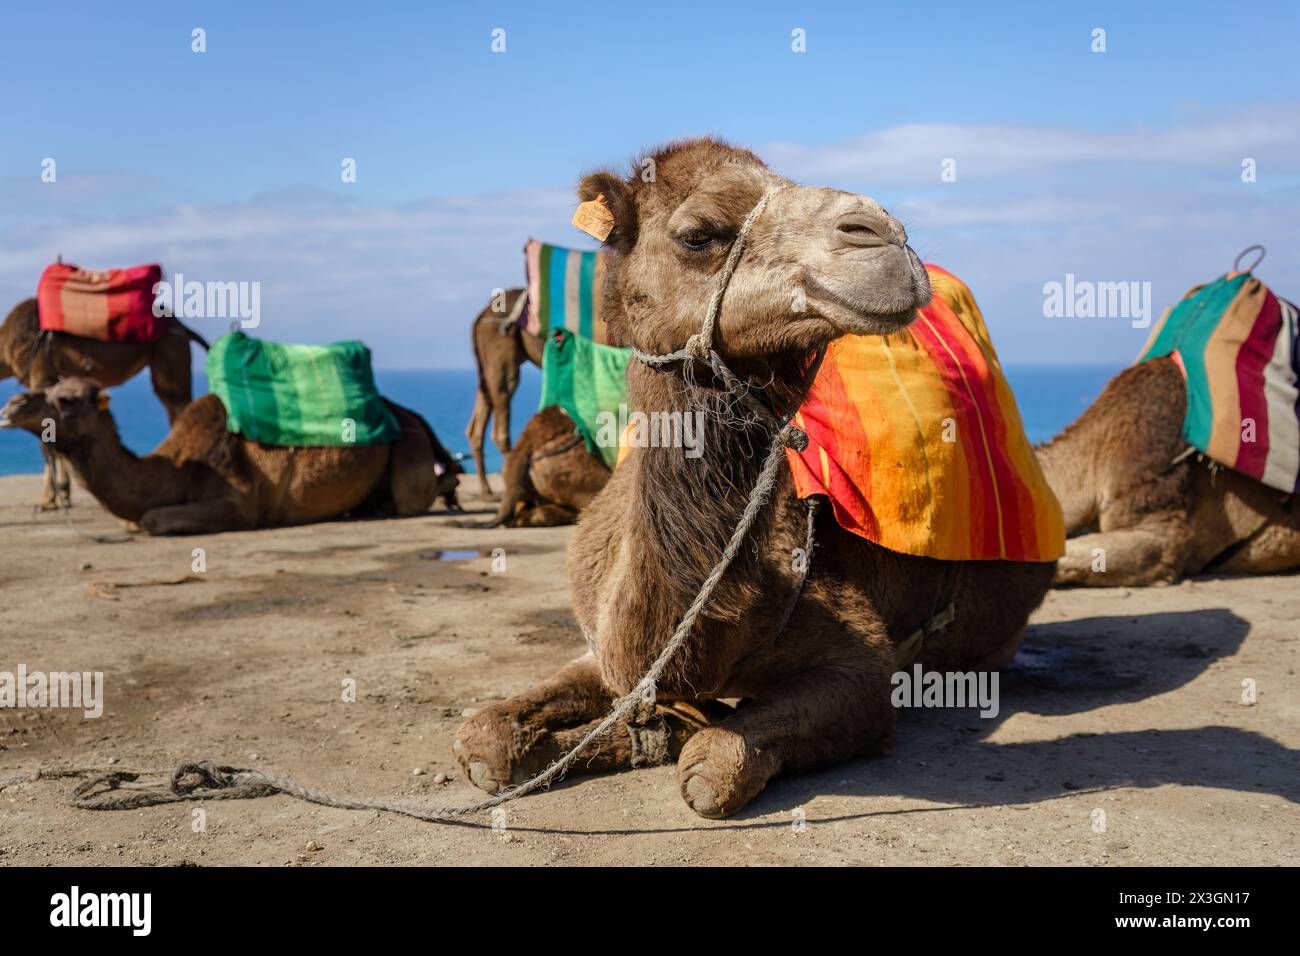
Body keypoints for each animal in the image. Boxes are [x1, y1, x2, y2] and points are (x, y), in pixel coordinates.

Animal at [0, 297, 208, 509]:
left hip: (169, 351)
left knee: (177, 403)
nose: (10, 407)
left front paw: (49, 500)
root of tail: (182, 327)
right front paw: (62, 495)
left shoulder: (40, 371)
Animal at [0, 377, 461, 534]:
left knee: (416, 495)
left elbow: (150, 520)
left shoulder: (239, 501)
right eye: (51, 387)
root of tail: (409, 413)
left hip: (409, 445)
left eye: (69, 399)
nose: (14, 405)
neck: (179, 465)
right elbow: (134, 520)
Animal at [465, 288, 543, 498]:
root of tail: (481, 316)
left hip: (486, 369)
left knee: (476, 427)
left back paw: (486, 491)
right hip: (501, 359)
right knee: (500, 430)